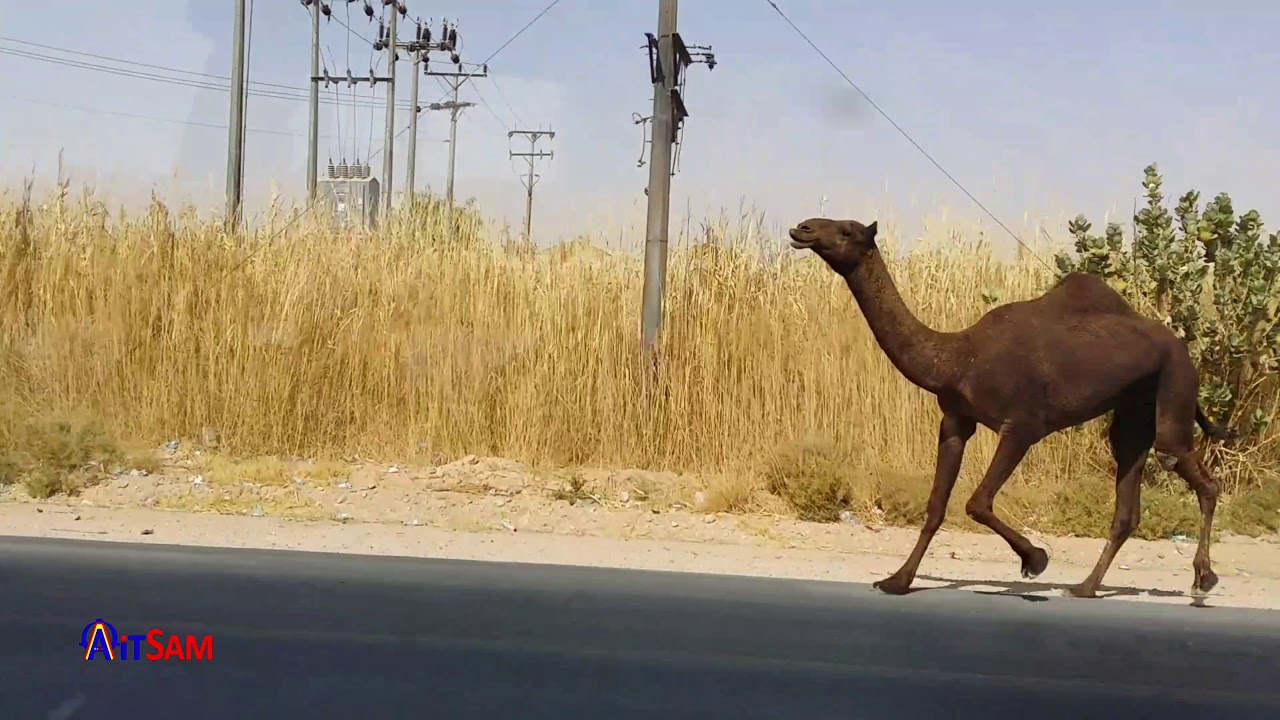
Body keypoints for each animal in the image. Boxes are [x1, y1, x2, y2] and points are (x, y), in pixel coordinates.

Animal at [788, 217, 1231, 599]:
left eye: (847, 230)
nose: (803, 228)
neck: (957, 359)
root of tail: (1181, 346)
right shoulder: (955, 421)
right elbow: (936, 507)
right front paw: (897, 580)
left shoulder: (1021, 426)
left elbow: (977, 502)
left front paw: (1036, 560)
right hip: (1133, 409)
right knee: (1129, 493)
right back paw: (1087, 587)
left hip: (1175, 385)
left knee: (1185, 465)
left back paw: (1203, 578)